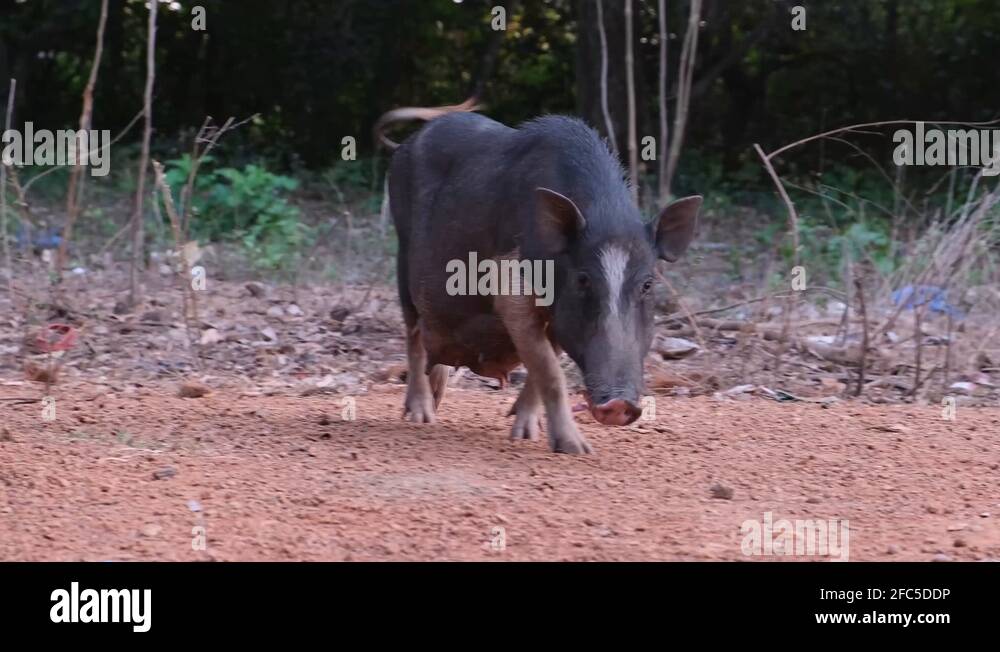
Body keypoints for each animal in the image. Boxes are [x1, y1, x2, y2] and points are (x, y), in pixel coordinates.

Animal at [377, 101, 701, 453]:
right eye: (583, 279)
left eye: (647, 284)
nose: (619, 405)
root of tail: (406, 145)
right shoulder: (509, 287)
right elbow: (549, 371)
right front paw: (576, 450)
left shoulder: (558, 315)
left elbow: (543, 364)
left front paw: (526, 435)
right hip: (402, 257)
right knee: (414, 336)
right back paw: (421, 417)